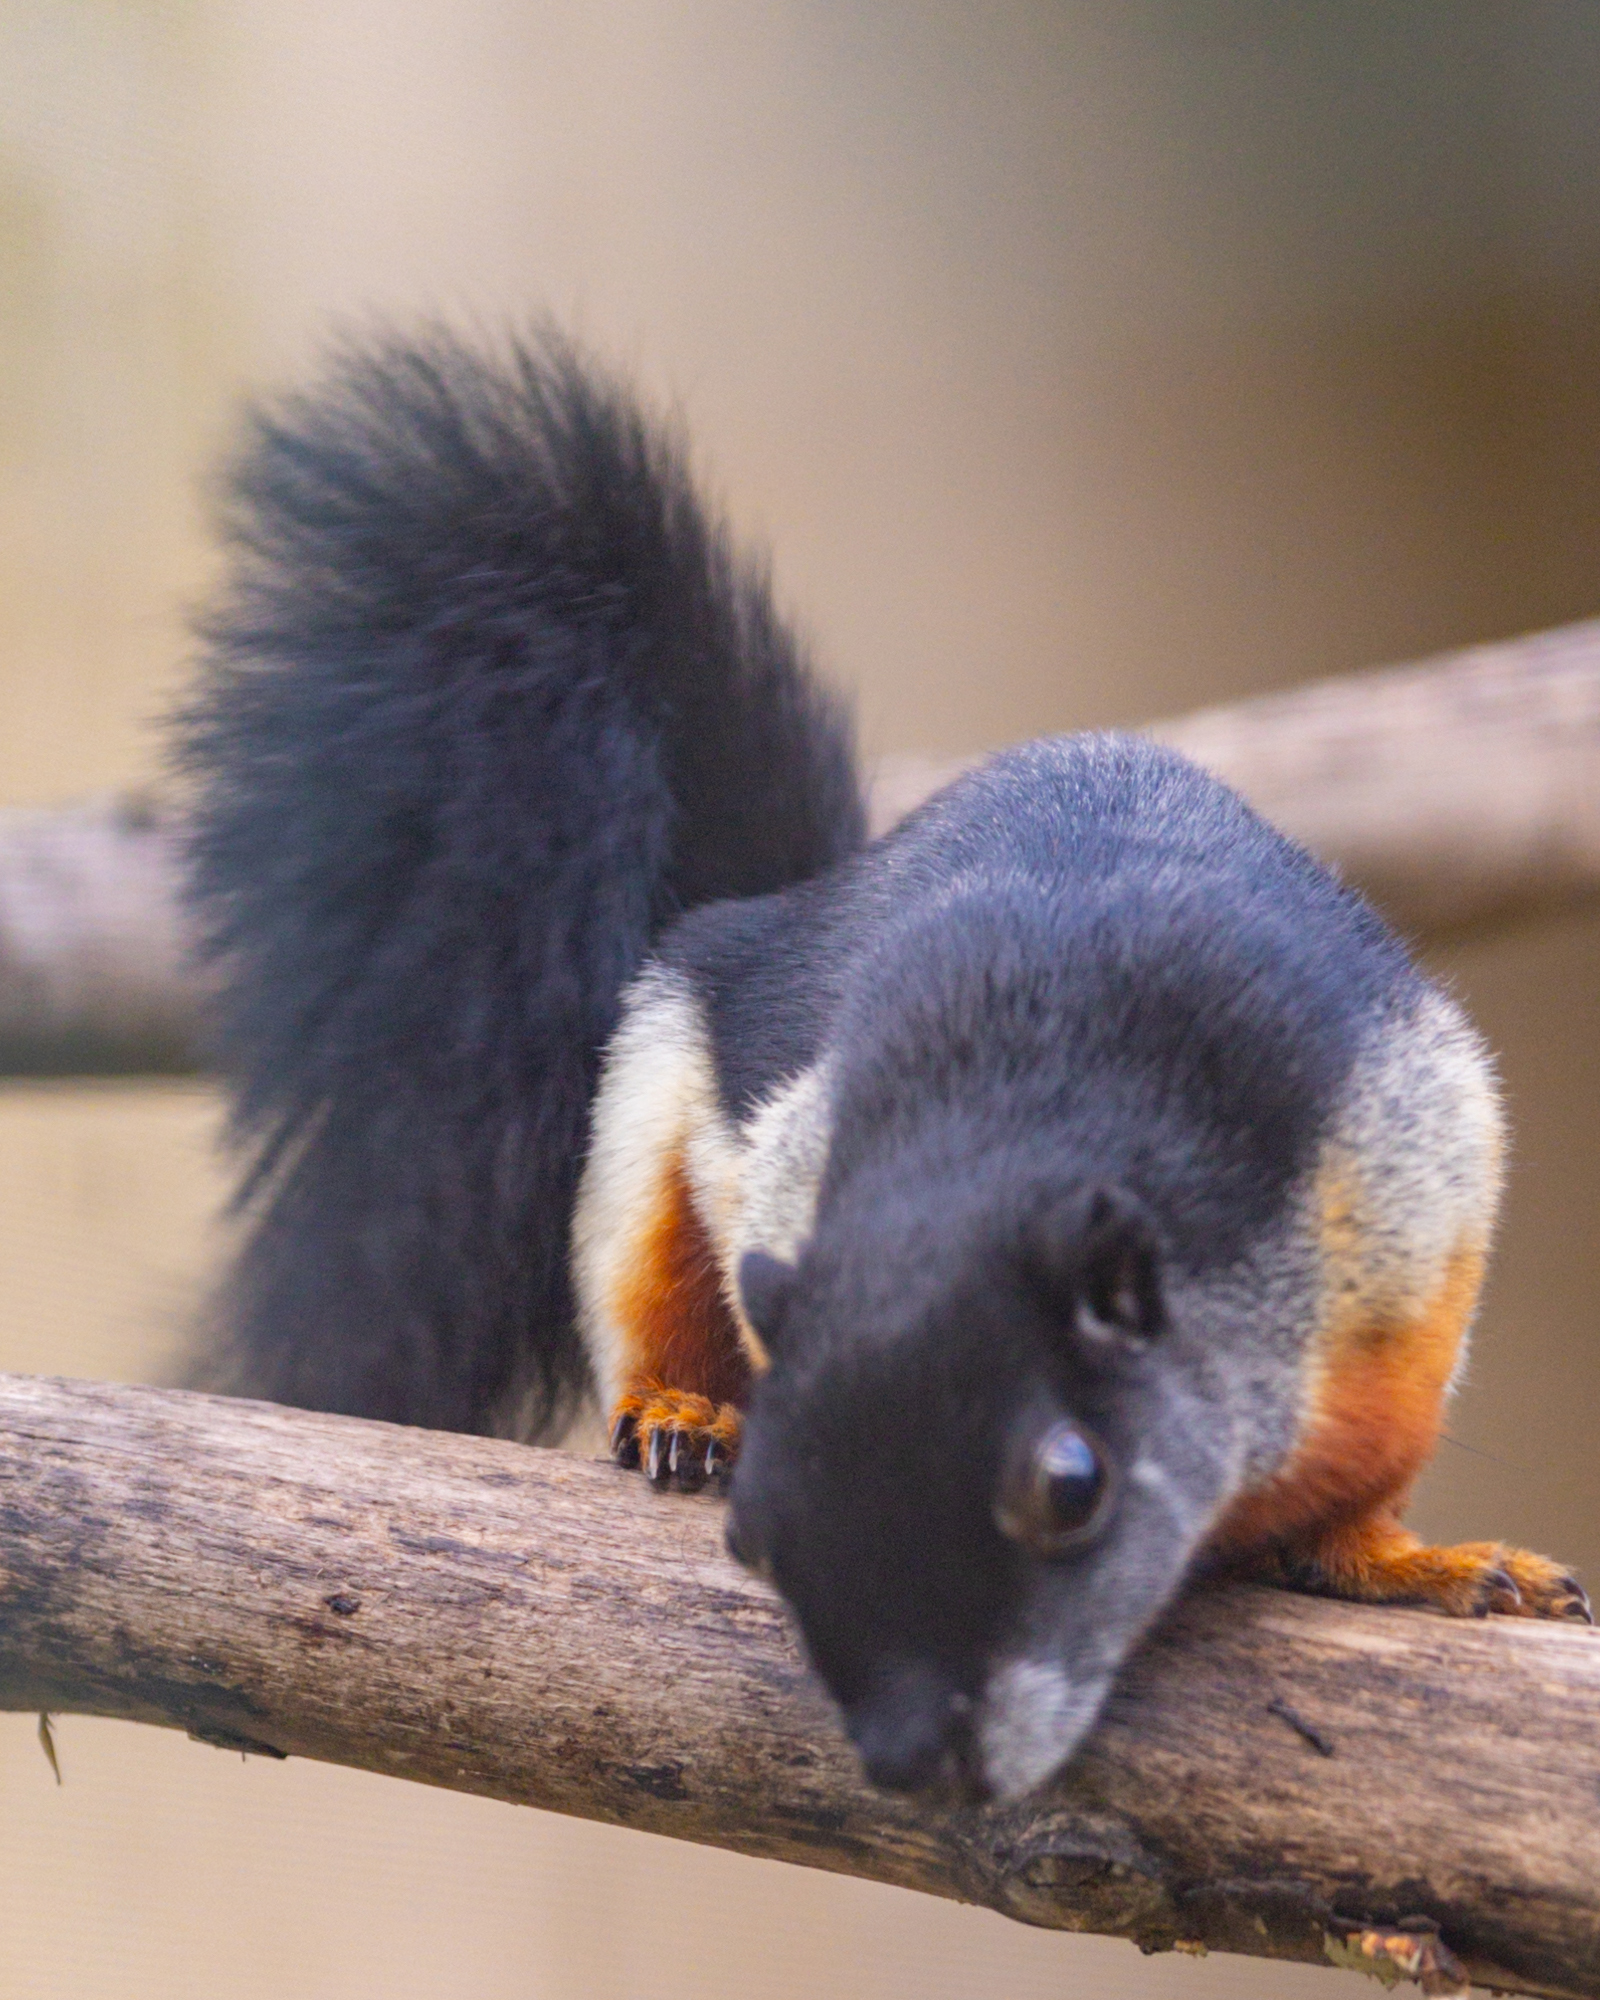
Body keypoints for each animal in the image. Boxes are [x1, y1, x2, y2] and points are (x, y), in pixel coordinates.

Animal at [175, 332, 1584, 1816]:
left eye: (1073, 1483)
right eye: (759, 1538)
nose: (919, 1758)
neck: (1025, 1135)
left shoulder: (1414, 1212)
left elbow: (1364, 1485)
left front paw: (1410, 1561)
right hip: (645, 1108)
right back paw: (677, 1408)